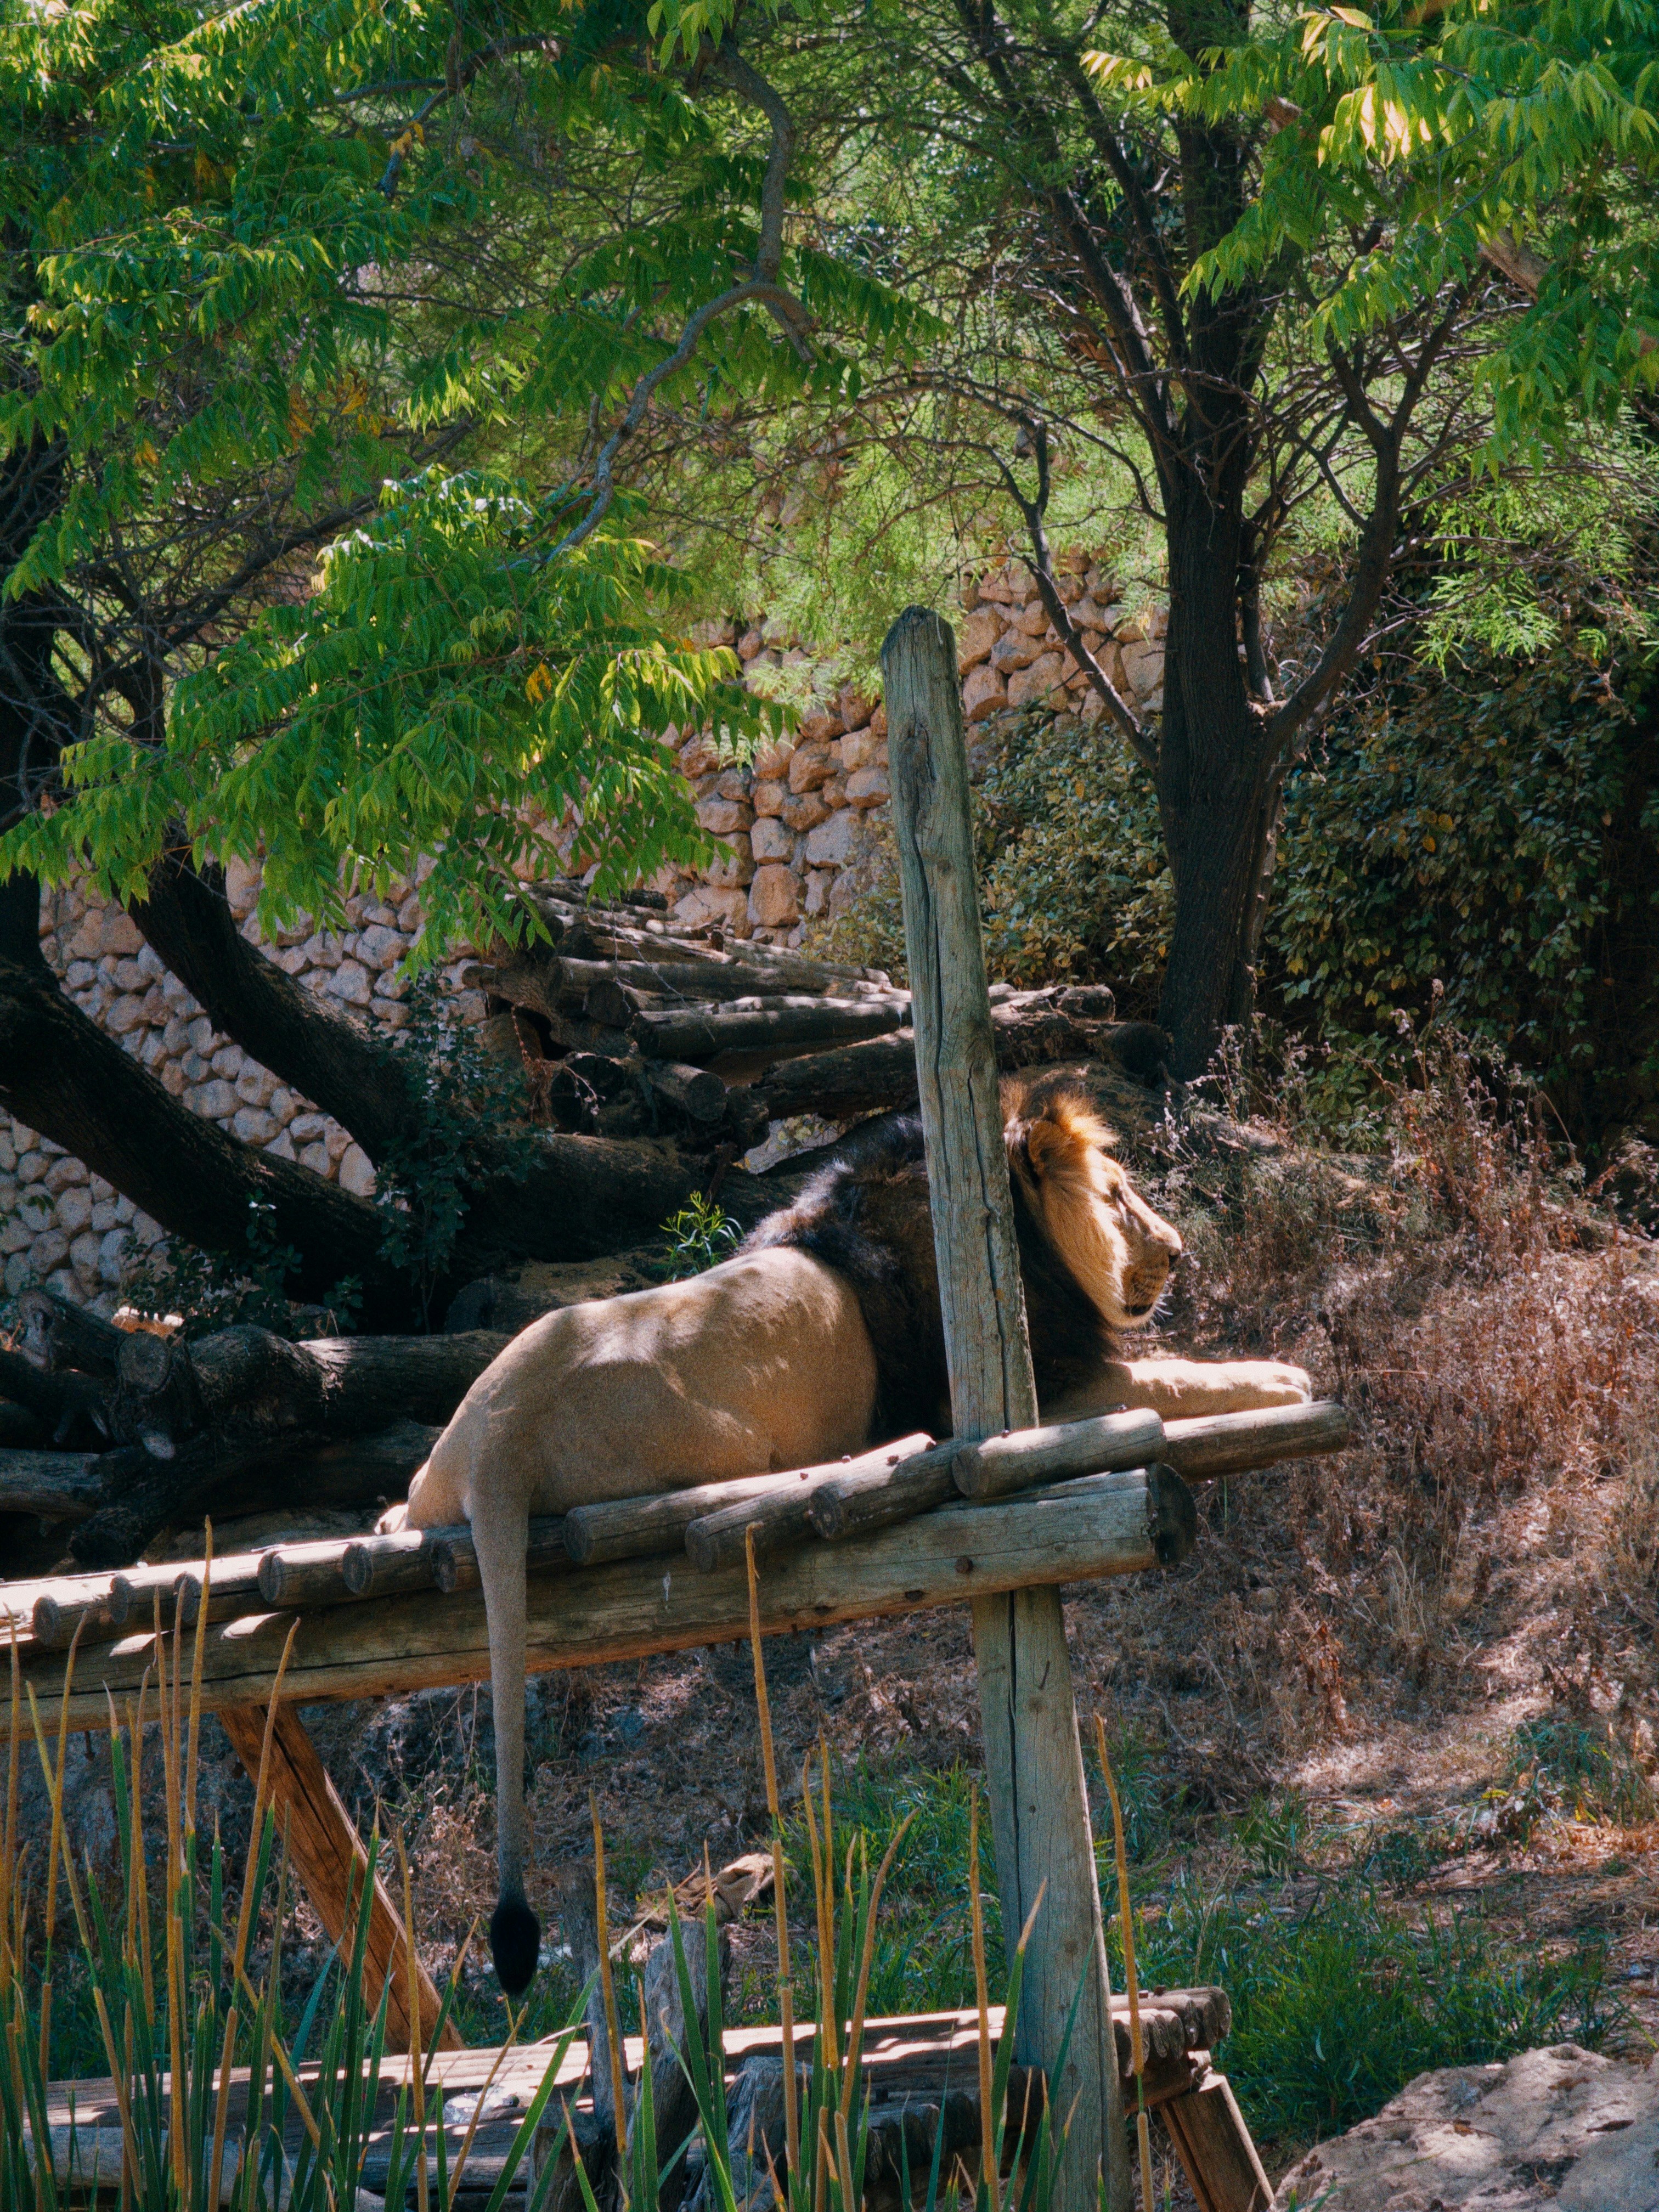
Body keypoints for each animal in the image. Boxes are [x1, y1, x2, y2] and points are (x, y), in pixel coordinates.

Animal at [382, 1085, 1310, 1993]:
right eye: (1118, 1197)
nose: (1180, 1252)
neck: (1018, 1234)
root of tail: (500, 1434)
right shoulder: (1028, 1395)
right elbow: (1176, 1376)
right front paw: (1286, 1376)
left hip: (462, 1447)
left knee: (404, 1509)